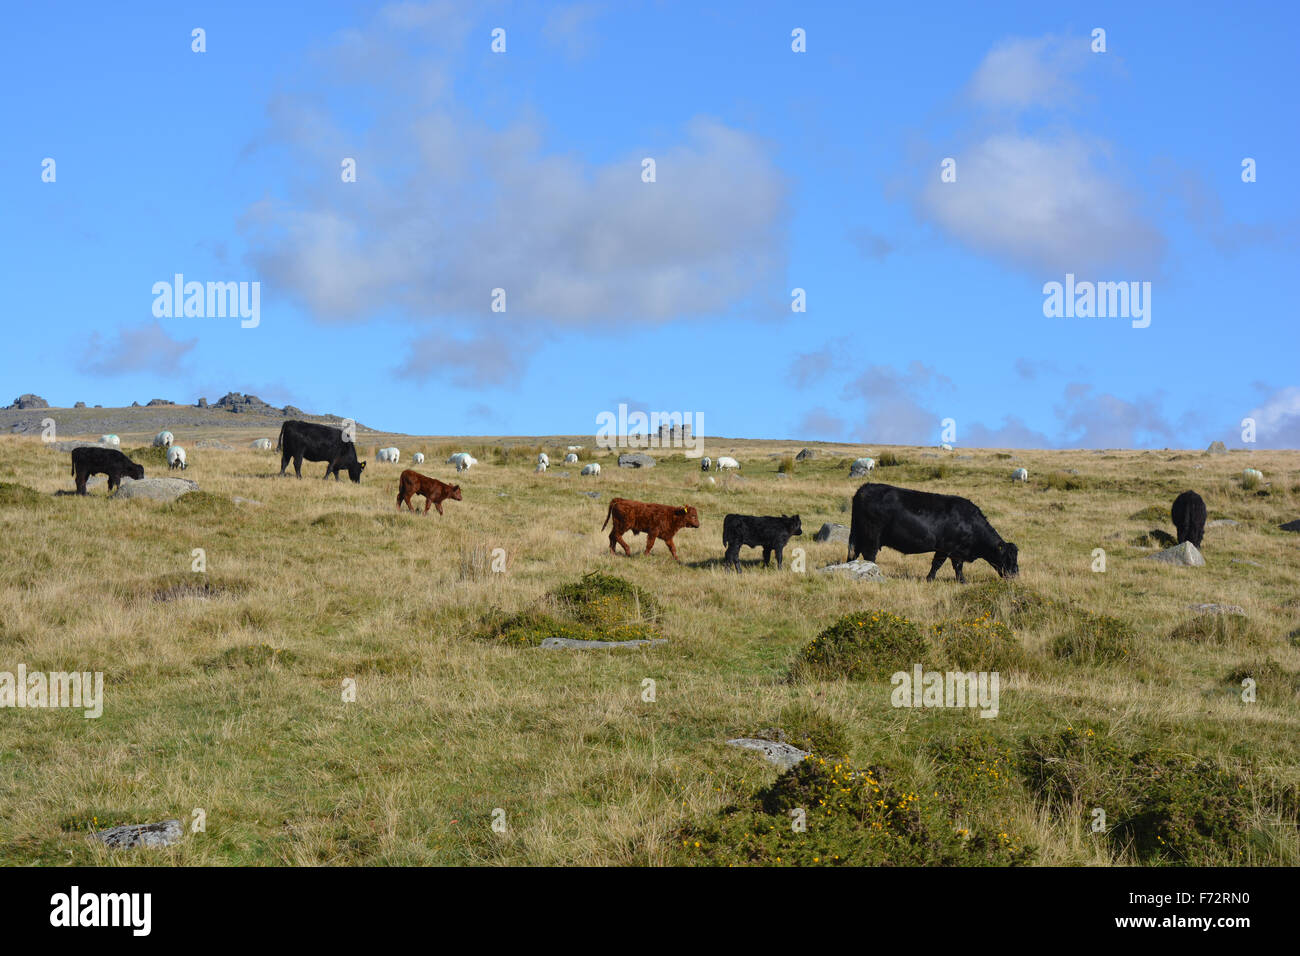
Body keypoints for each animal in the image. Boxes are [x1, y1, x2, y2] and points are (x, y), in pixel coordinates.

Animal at [848, 482, 1019, 583]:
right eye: (1008, 557)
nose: (1016, 574)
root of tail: (864, 488)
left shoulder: (952, 550)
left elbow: (951, 566)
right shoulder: (948, 548)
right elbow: (944, 565)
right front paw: (954, 580)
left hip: (859, 534)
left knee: (854, 552)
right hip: (871, 536)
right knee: (869, 555)